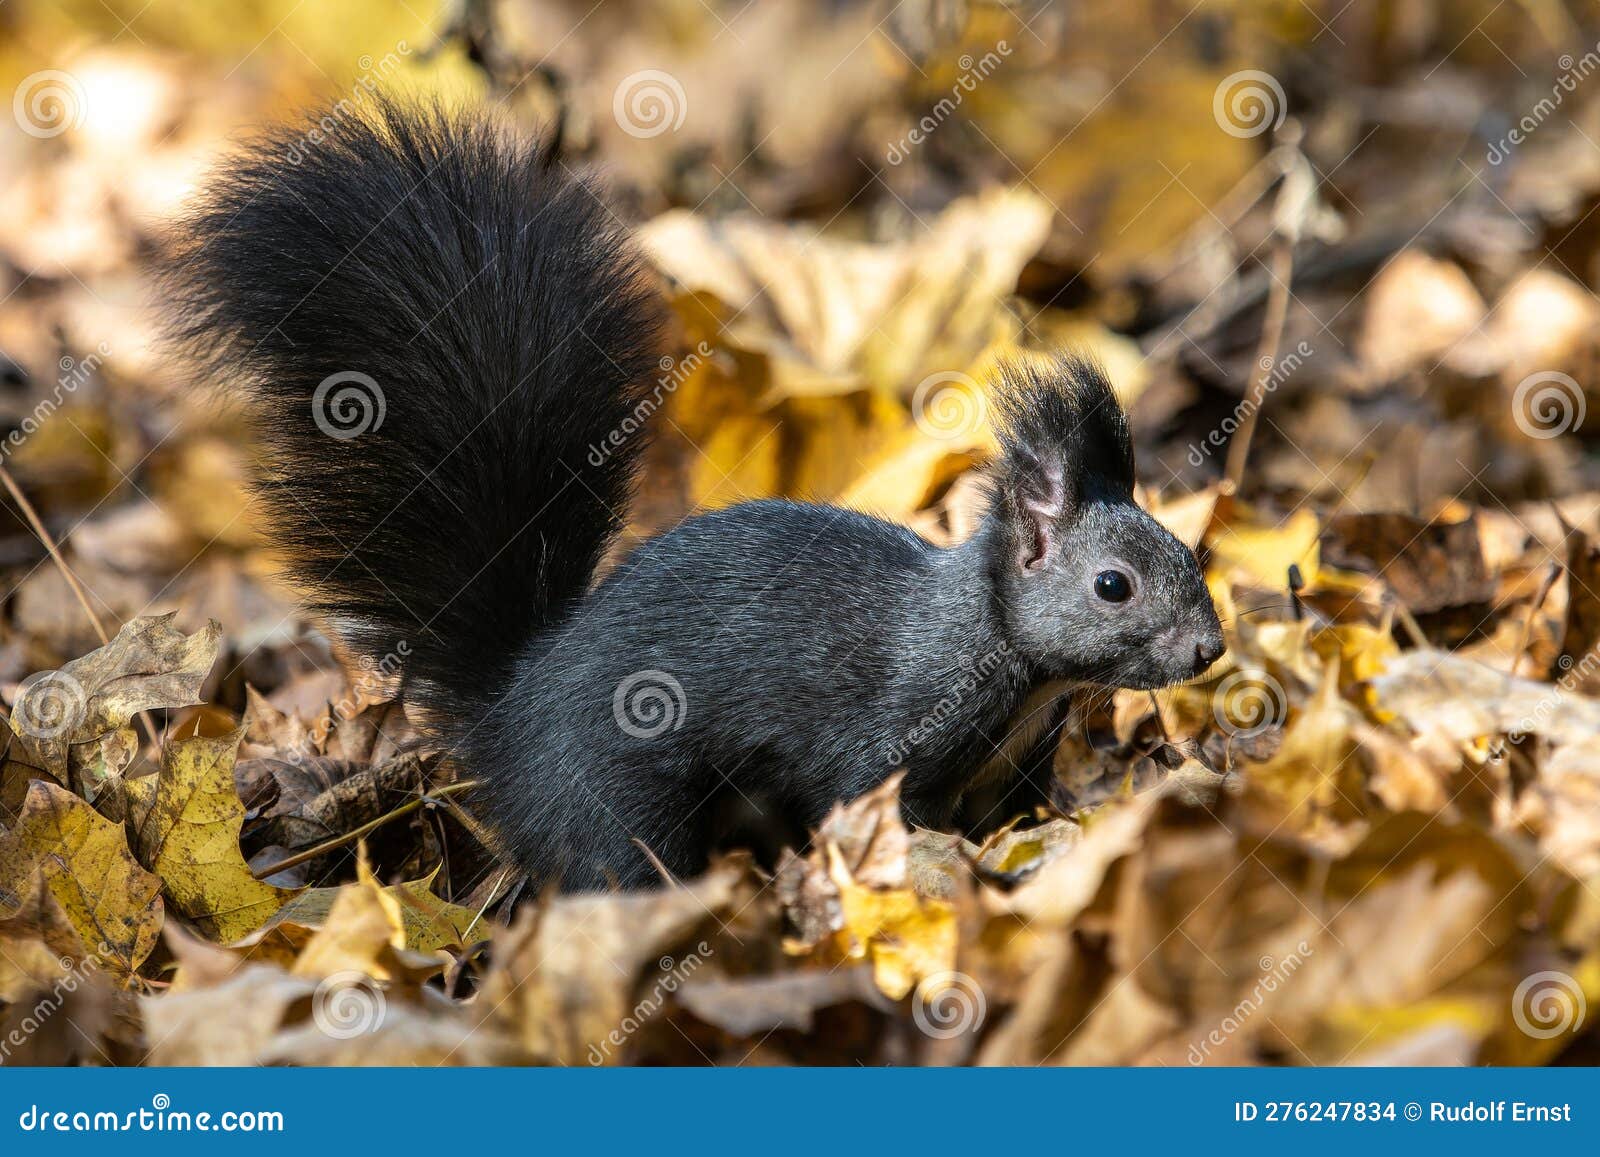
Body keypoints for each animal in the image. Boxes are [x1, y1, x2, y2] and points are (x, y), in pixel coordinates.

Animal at [164, 100, 1225, 892]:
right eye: (1114, 585)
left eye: (1188, 551)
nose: (1210, 648)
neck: (1001, 651)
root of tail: (508, 715)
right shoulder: (889, 731)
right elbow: (875, 804)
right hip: (619, 788)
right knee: (610, 857)